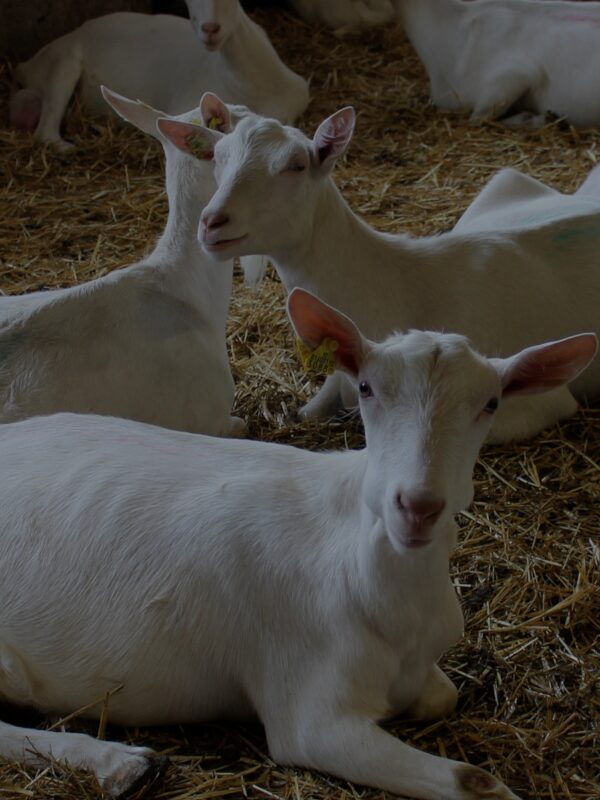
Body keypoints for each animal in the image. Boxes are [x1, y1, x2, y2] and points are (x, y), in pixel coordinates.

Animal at [0, 288, 595, 797]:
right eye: (365, 388)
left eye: (491, 403)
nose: (418, 505)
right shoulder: (311, 705)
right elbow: (474, 781)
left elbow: (442, 696)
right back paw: (122, 764)